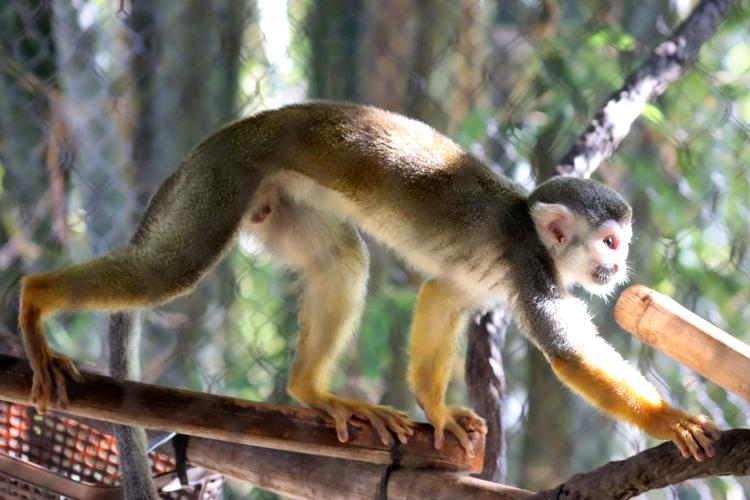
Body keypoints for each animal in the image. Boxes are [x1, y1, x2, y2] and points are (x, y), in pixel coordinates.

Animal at [19, 102, 720, 487]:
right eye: (607, 241)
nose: (617, 265)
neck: (532, 234)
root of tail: (222, 138)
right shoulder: (531, 269)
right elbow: (570, 356)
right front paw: (671, 420)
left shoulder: (485, 275)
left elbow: (441, 293)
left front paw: (436, 412)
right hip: (223, 182)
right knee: (174, 269)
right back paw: (33, 301)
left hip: (274, 198)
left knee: (341, 260)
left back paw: (311, 391)